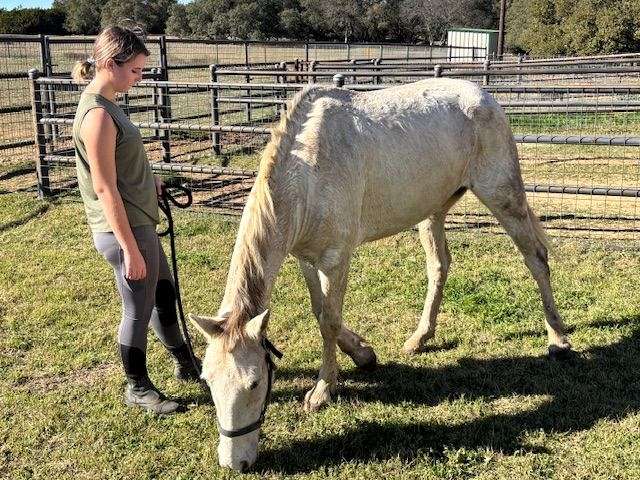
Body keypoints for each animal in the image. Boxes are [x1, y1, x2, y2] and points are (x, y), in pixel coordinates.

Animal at [189, 78, 572, 472]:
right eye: (207, 381)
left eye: (254, 383)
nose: (234, 463)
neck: (307, 173)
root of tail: (484, 96)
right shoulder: (306, 258)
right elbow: (319, 311)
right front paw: (363, 354)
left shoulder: (335, 259)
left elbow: (328, 321)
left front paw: (323, 390)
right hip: (434, 207)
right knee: (439, 266)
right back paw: (420, 338)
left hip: (502, 195)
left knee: (536, 258)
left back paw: (557, 339)